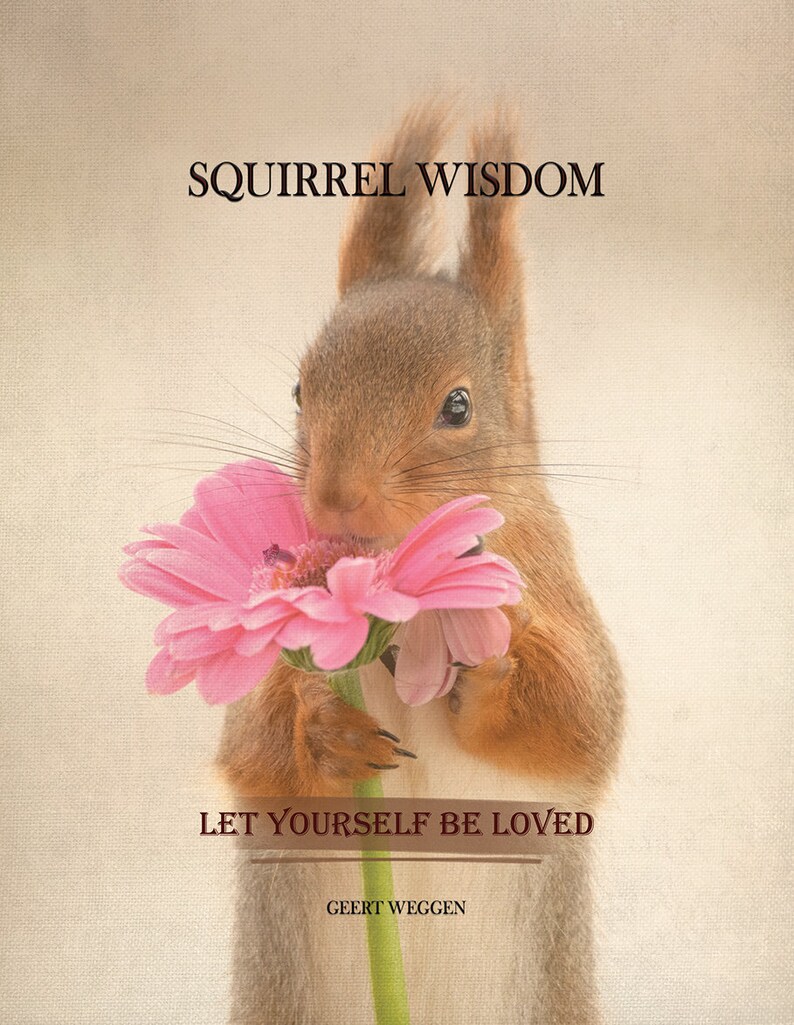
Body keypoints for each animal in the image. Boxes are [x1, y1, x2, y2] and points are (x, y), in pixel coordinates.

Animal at [216, 104, 624, 1025]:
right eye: (300, 390)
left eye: (459, 406)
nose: (337, 496)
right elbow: (253, 749)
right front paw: (323, 726)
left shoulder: (558, 586)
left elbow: (586, 717)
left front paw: (498, 654)